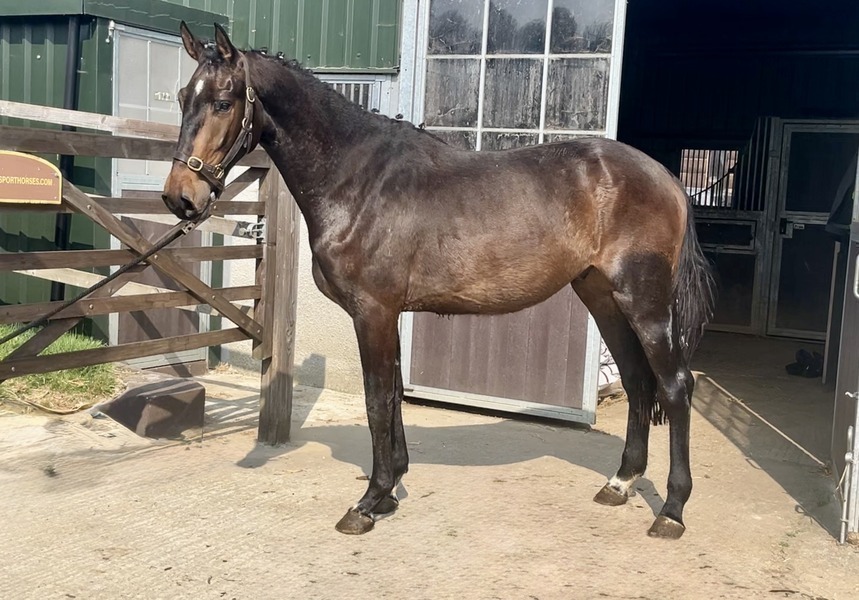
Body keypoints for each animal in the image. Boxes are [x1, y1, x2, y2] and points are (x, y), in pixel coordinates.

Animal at [162, 23, 715, 539]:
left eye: (223, 101)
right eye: (183, 98)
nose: (179, 197)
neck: (358, 179)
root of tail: (666, 178)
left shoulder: (373, 311)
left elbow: (377, 398)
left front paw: (369, 502)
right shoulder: (389, 313)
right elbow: (393, 392)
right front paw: (390, 491)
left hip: (643, 300)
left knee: (674, 385)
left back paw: (671, 510)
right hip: (602, 296)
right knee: (638, 381)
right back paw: (620, 483)